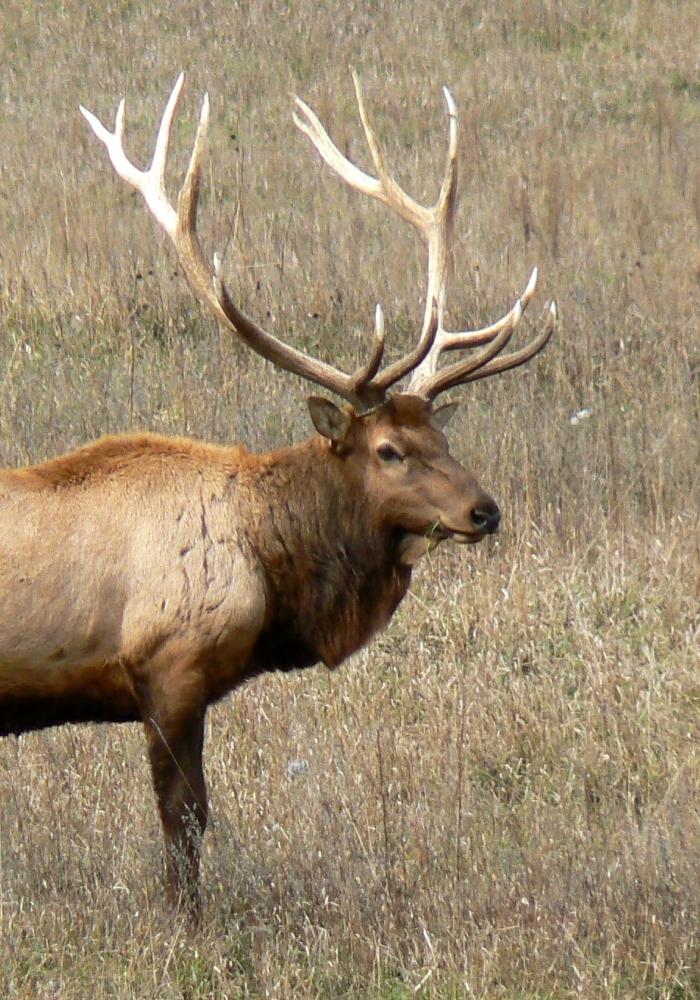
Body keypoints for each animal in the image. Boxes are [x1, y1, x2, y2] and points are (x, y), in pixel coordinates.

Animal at [0, 73, 555, 918]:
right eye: (389, 450)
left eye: (444, 439)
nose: (484, 510)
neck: (272, 564)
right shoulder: (168, 665)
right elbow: (186, 819)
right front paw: (186, 924)